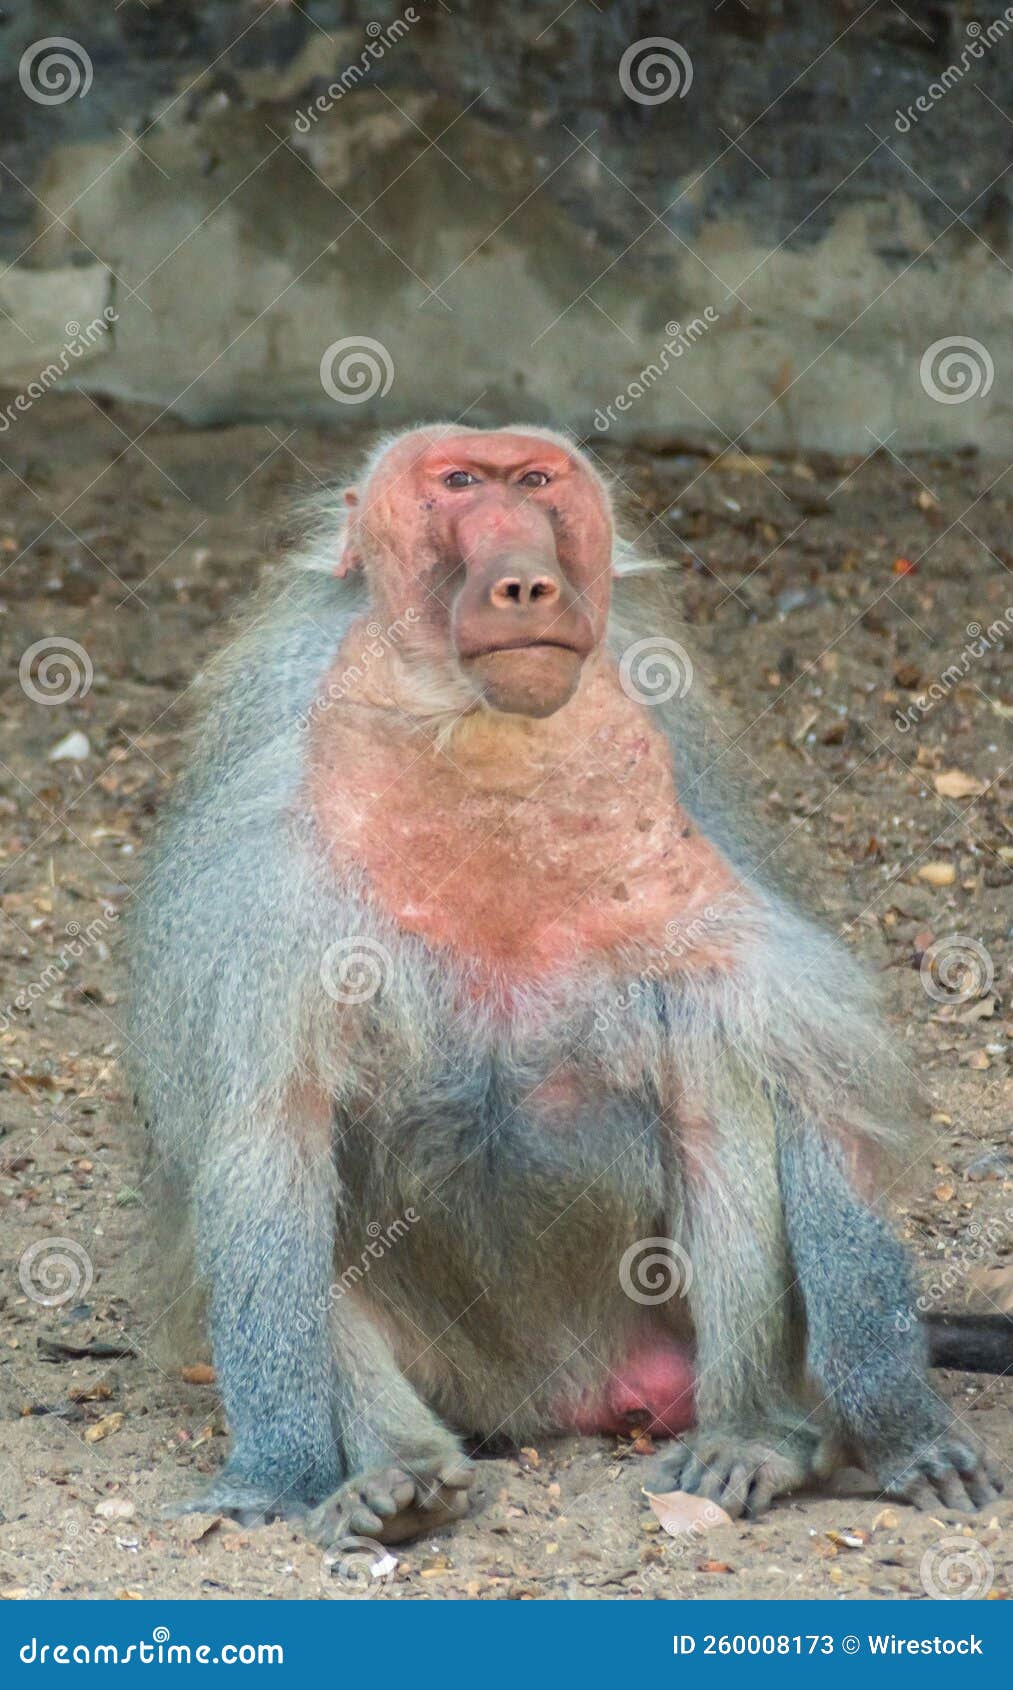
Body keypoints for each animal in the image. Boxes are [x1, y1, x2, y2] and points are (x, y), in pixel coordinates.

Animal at [127, 424, 1003, 1546]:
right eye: (459, 483)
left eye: (536, 482)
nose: (524, 582)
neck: (483, 736)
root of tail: (570, 1397)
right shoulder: (267, 845)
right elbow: (265, 1135)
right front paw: (271, 1475)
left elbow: (793, 1055)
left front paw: (901, 1431)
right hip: (463, 1372)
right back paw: (398, 1478)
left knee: (715, 1082)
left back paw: (753, 1438)